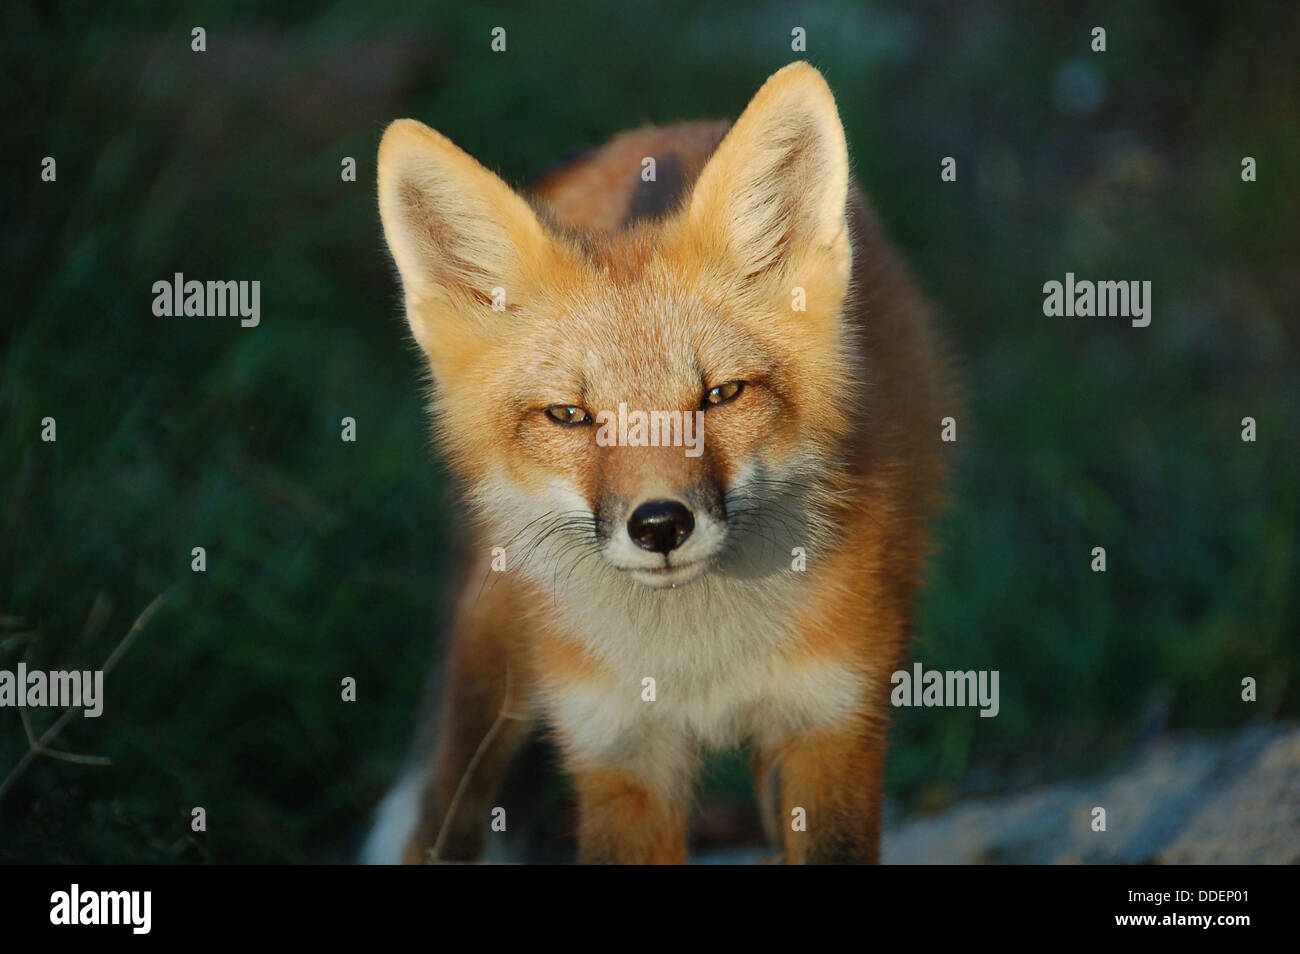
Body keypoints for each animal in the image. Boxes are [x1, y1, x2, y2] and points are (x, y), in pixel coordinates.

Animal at [364, 61, 955, 864]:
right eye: (570, 415)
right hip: (490, 673)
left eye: (721, 394)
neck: (694, 665)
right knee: (441, 815)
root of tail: (652, 131)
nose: (660, 527)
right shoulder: (619, 753)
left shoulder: (830, 722)